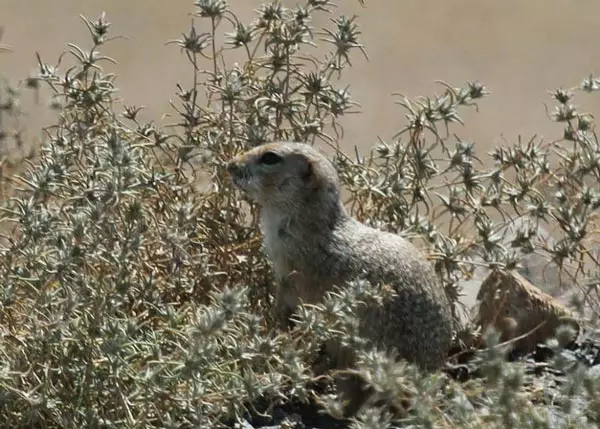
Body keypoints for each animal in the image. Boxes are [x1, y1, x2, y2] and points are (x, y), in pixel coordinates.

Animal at [227, 141, 452, 374]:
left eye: (270, 158)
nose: (230, 165)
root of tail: (429, 367)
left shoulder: (292, 273)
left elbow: (286, 303)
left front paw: (274, 327)